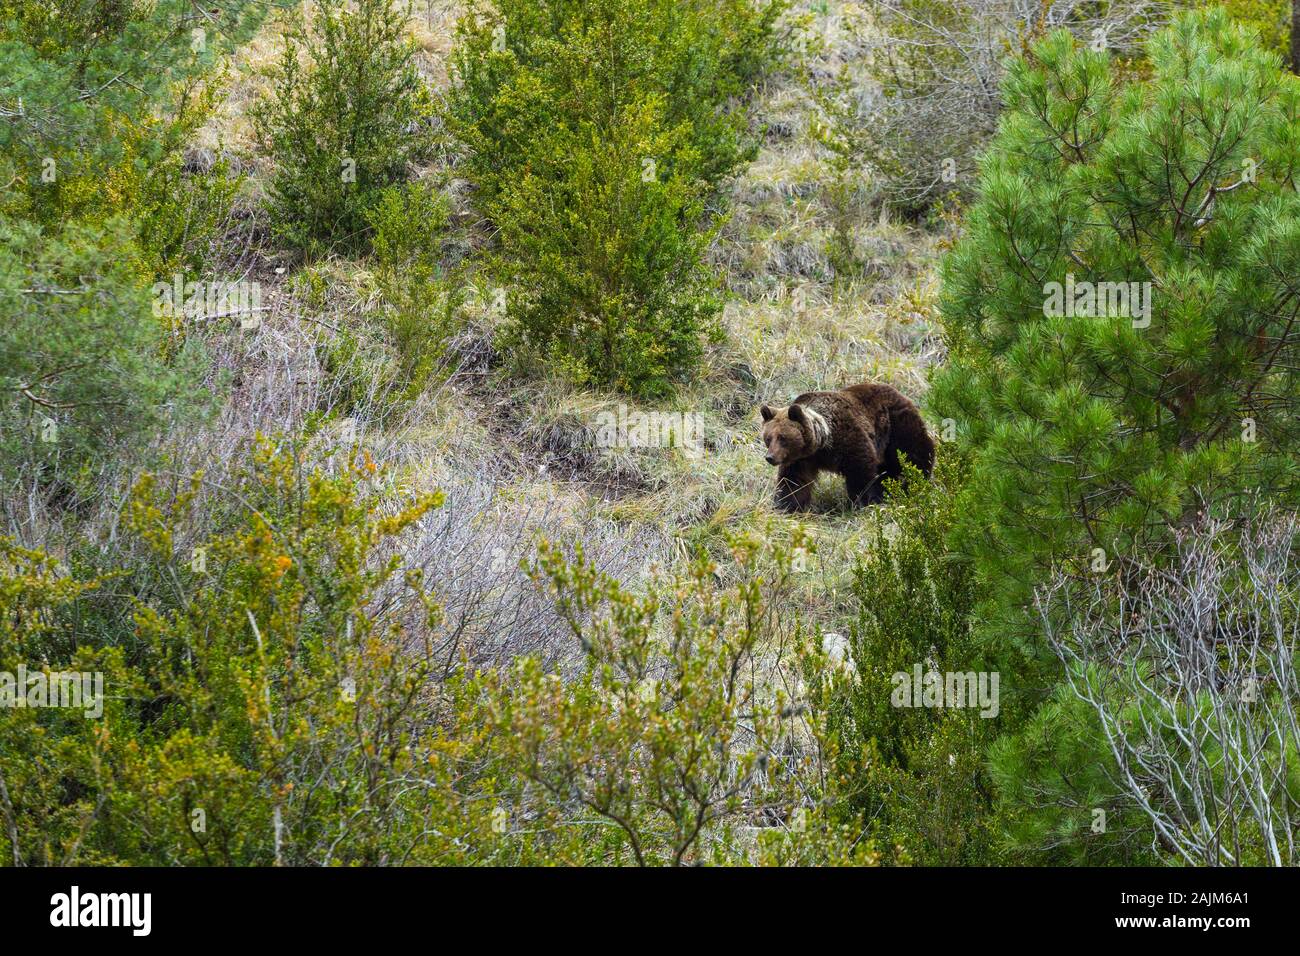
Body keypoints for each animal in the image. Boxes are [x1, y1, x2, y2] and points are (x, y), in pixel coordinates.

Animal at [760, 382, 935, 512]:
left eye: (782, 438)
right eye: (768, 438)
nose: (770, 457)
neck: (823, 442)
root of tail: (900, 393)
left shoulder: (848, 438)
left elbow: (860, 471)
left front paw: (862, 502)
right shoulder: (802, 459)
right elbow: (794, 482)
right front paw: (786, 506)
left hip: (896, 426)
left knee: (913, 453)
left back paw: (915, 481)